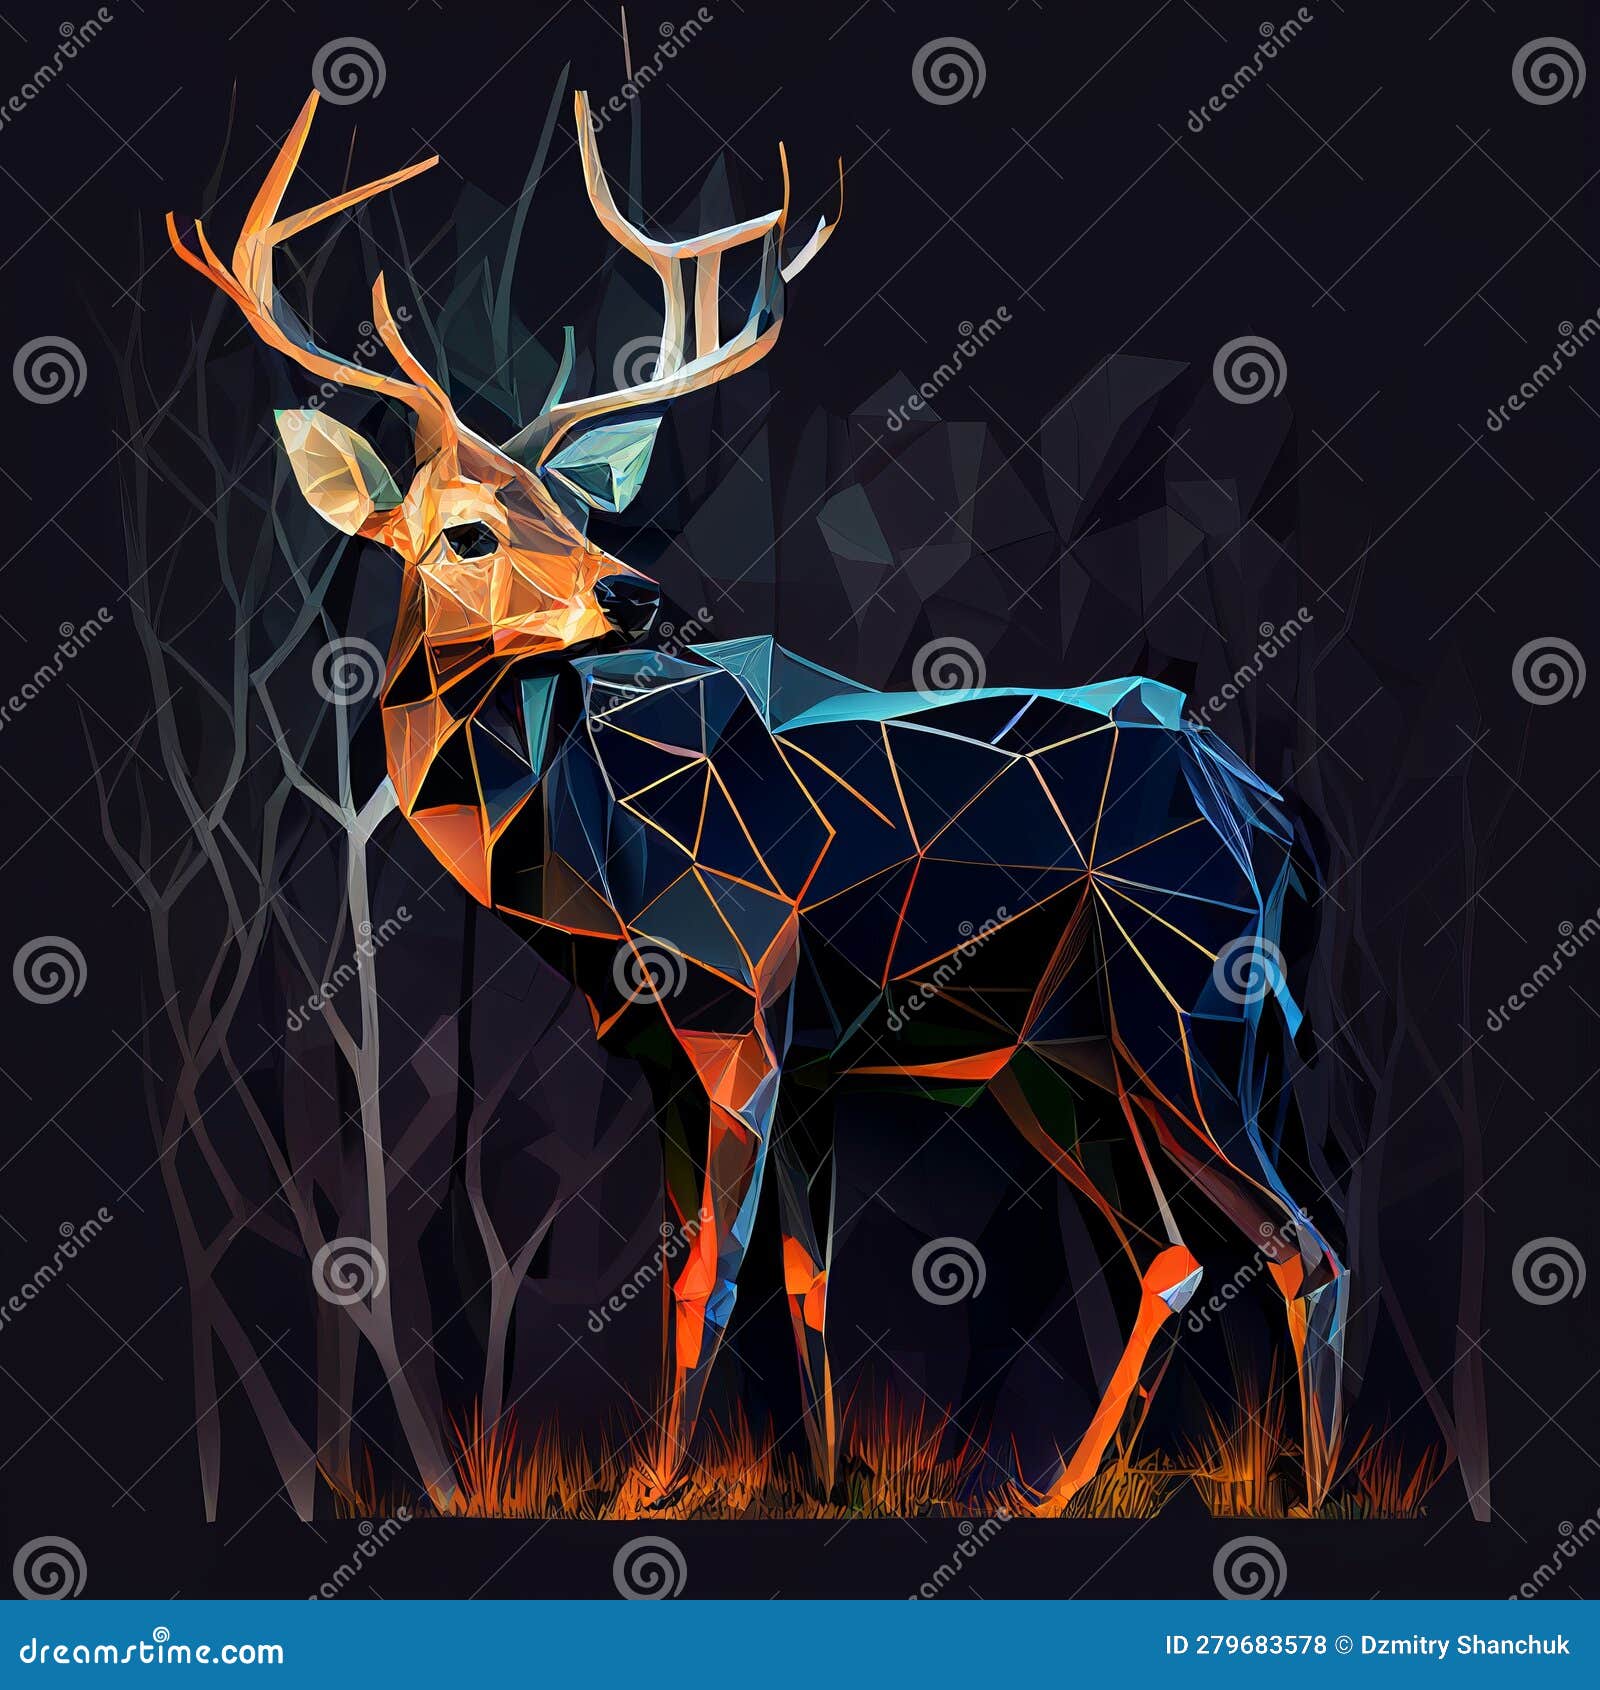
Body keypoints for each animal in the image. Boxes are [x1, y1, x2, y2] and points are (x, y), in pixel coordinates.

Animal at [168, 89, 1347, 1513]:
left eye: (574, 507)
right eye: (466, 530)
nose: (636, 594)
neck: (592, 850)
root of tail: (1275, 818)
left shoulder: (745, 1005)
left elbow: (708, 1271)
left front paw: (650, 1487)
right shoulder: (715, 1051)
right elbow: (800, 1277)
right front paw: (823, 1476)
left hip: (1192, 999)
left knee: (1301, 1238)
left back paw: (1308, 1487)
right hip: (1053, 1050)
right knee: (1169, 1253)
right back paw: (1057, 1489)